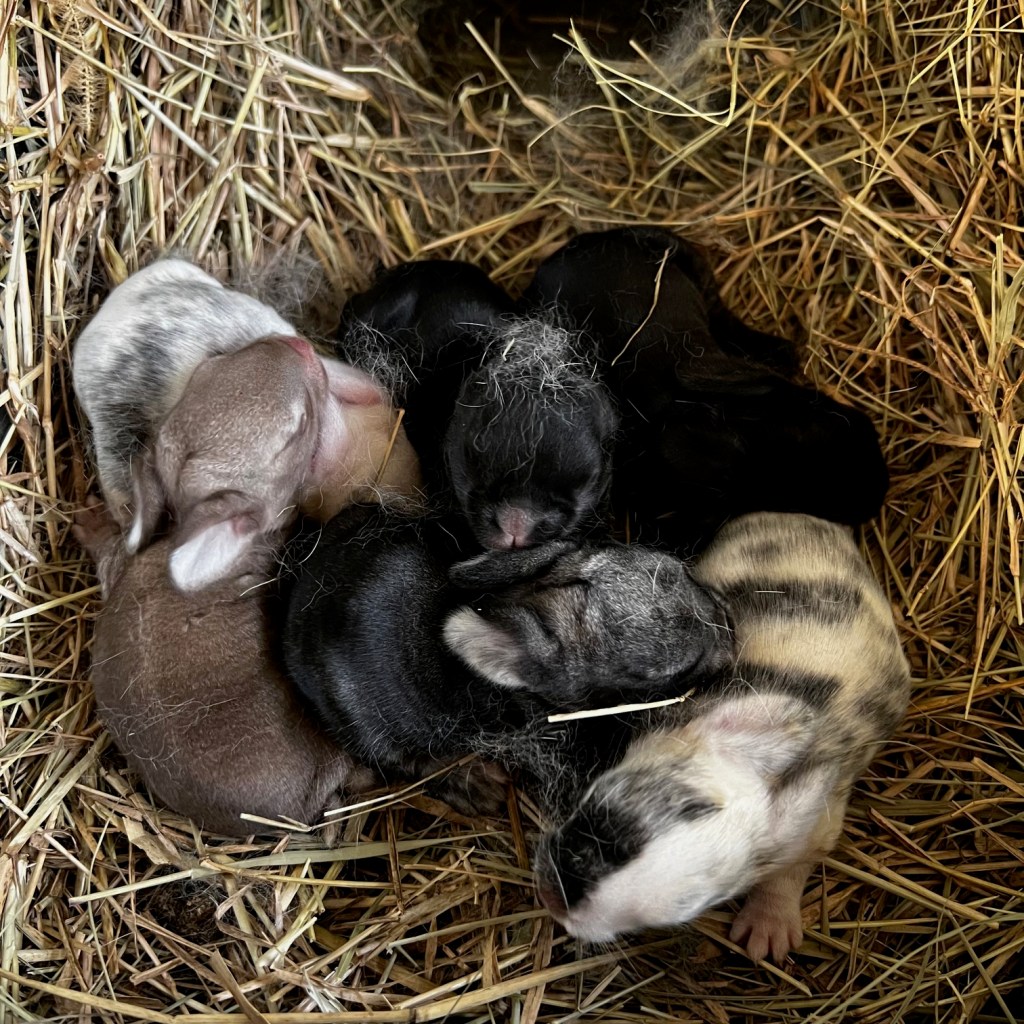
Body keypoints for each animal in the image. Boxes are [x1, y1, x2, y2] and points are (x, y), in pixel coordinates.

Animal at [534, 511, 910, 962]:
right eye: (598, 810)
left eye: (686, 912)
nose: (552, 900)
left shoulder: (818, 830)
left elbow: (786, 876)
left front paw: (767, 937)